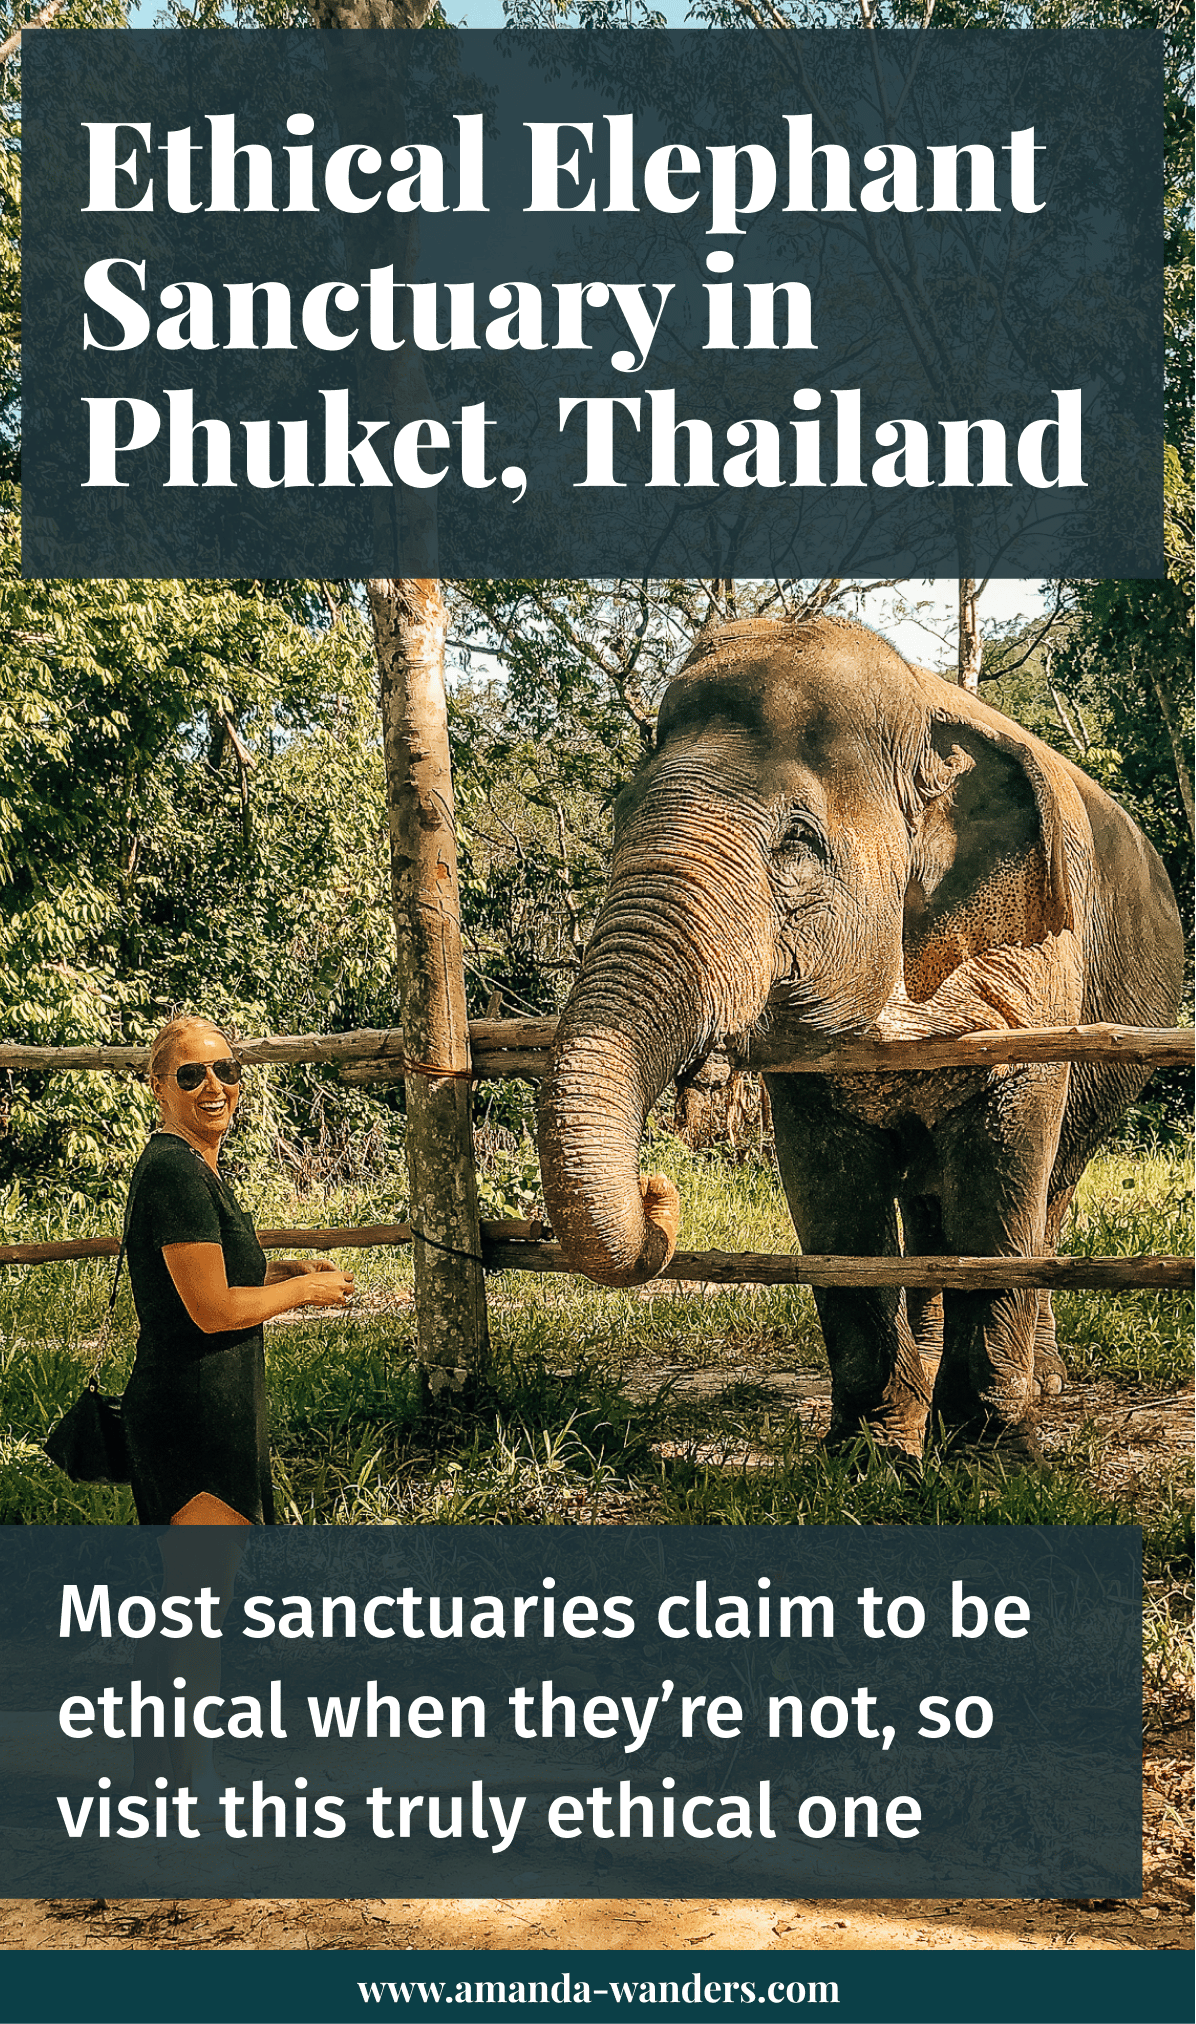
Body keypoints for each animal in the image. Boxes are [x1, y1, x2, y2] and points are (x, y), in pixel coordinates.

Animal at [537, 615, 1184, 1465]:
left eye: (795, 843)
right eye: (616, 821)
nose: (657, 1192)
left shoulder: (1038, 961)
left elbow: (1002, 1174)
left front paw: (987, 1460)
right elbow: (831, 1192)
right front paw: (871, 1455)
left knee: (1051, 1189)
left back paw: (1044, 1382)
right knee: (933, 1204)